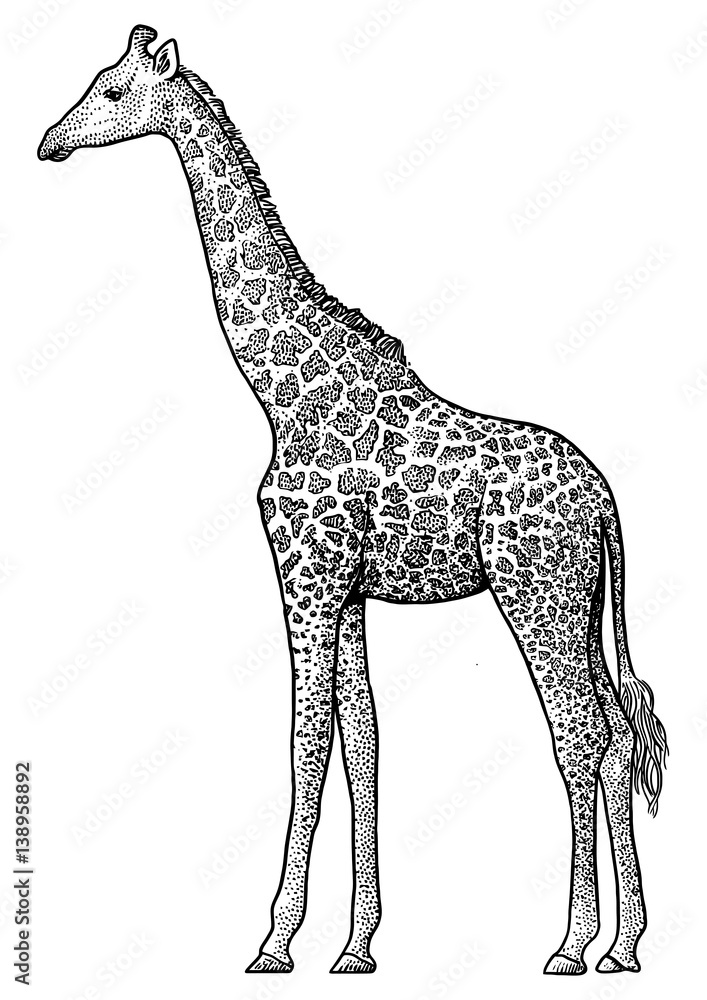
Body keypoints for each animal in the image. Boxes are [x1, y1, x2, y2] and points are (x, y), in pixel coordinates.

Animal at [38, 26, 668, 977]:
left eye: (111, 92)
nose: (48, 141)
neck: (279, 395)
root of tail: (603, 502)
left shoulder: (305, 576)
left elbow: (305, 745)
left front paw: (272, 941)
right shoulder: (348, 592)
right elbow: (362, 742)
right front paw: (356, 943)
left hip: (537, 598)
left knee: (579, 738)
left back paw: (569, 944)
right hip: (584, 603)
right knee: (619, 733)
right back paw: (625, 946)